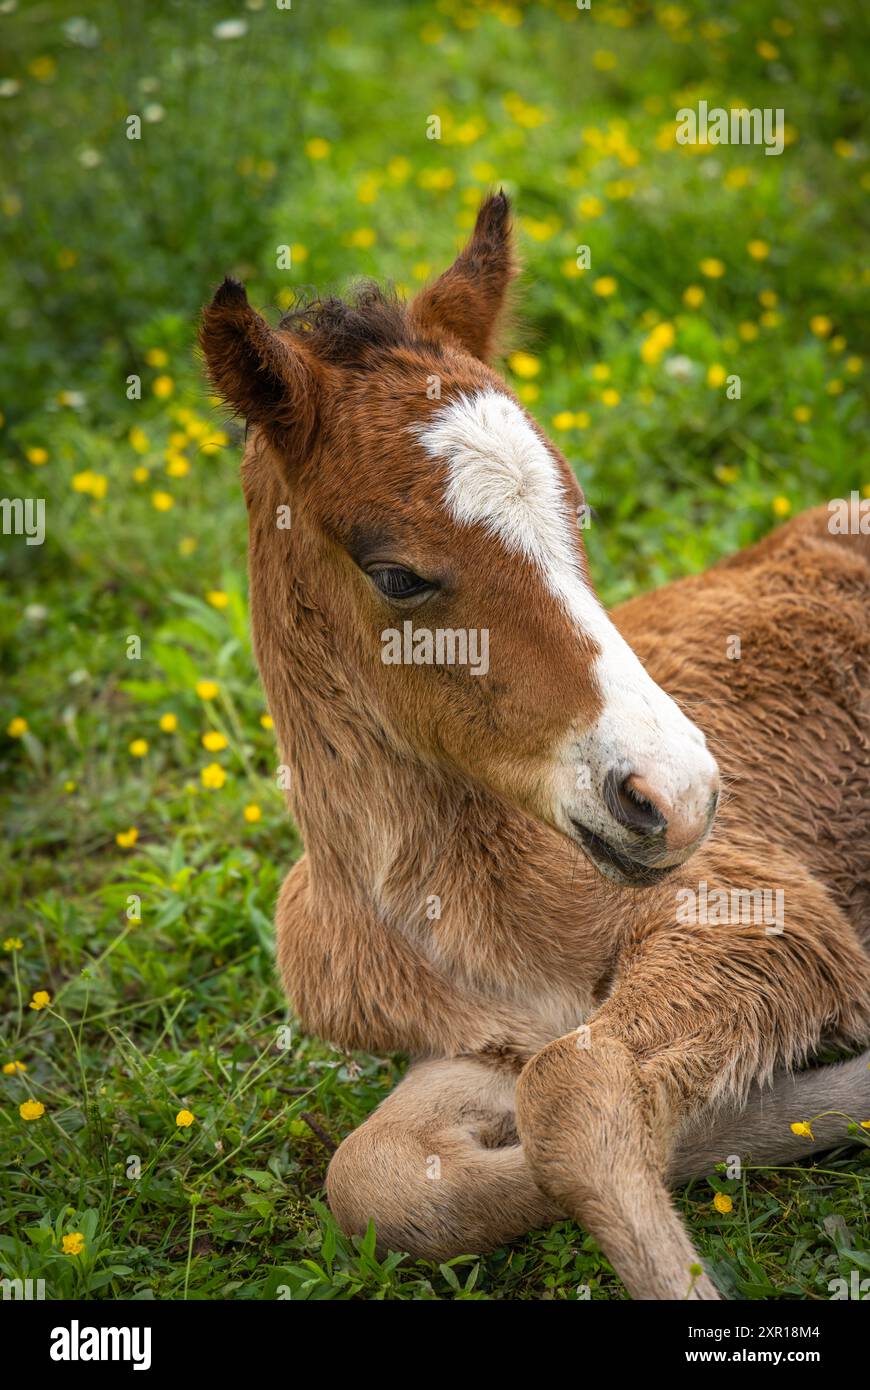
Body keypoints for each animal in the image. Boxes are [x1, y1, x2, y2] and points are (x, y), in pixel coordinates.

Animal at [200, 193, 870, 1300]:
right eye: (396, 575)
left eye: (577, 510)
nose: (677, 794)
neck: (450, 910)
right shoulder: (473, 1043)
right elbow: (383, 1179)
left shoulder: (758, 906)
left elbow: (573, 1090)